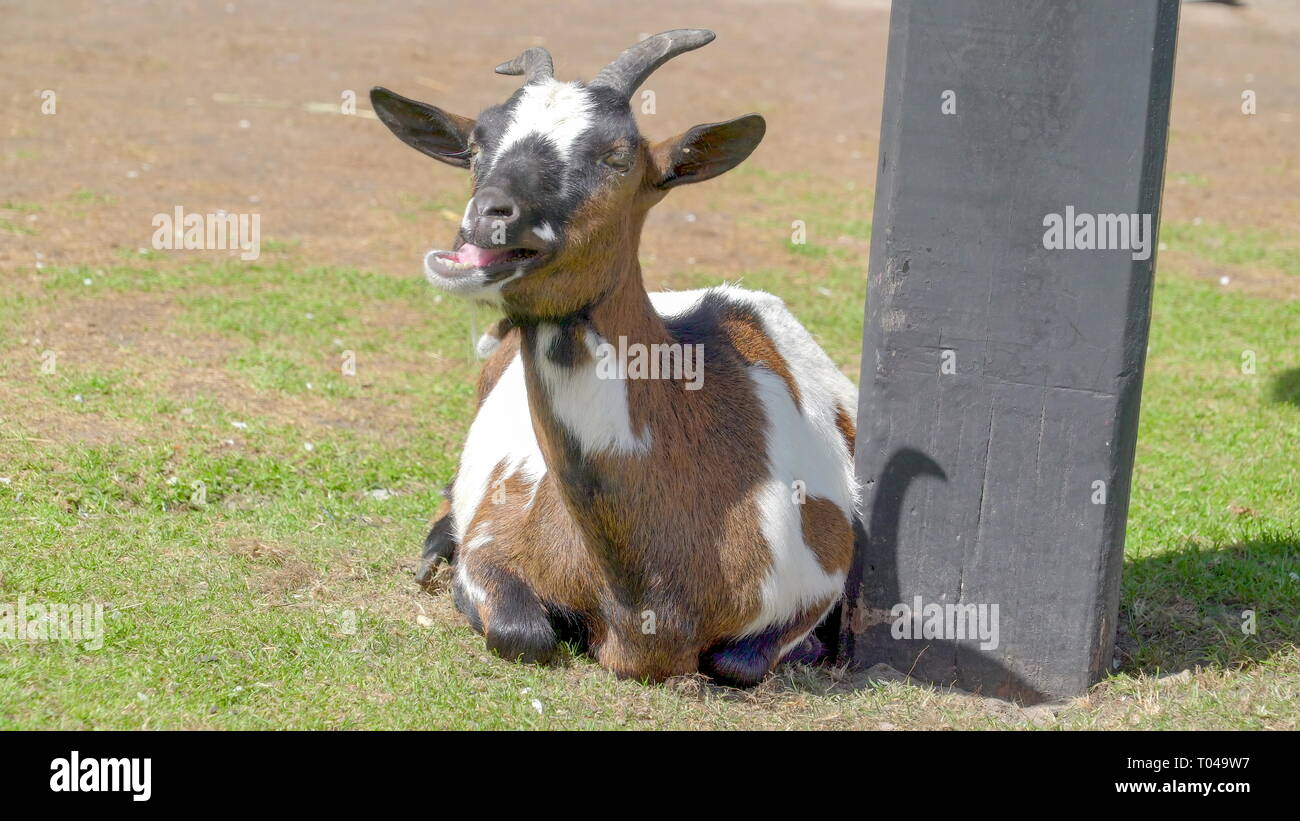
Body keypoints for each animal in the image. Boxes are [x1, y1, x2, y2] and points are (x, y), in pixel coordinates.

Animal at [375, 30, 859, 686]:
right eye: (477, 143)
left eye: (617, 156)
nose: (484, 218)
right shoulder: (492, 541)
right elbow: (522, 633)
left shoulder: (816, 577)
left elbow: (738, 661)